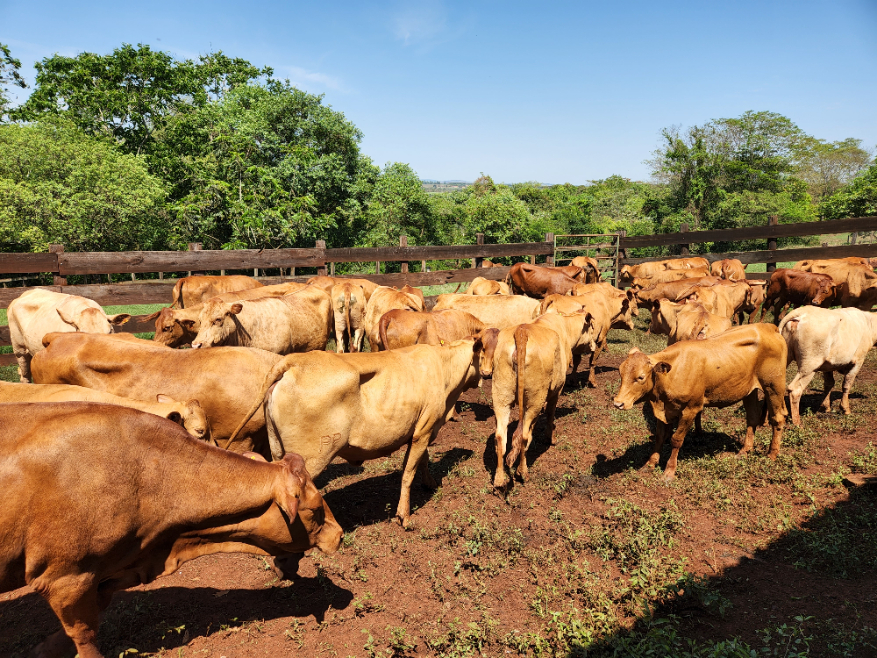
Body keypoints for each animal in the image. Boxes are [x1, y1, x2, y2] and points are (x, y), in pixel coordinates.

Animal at [226, 339, 483, 527]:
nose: (486, 376)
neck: (443, 367)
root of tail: (295, 361)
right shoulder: (426, 427)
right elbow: (408, 471)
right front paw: (405, 516)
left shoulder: (420, 429)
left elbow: (423, 460)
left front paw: (429, 482)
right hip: (310, 457)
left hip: (276, 446)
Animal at [477, 311, 597, 489]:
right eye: (592, 328)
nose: (595, 344)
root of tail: (521, 331)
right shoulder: (556, 390)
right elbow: (550, 414)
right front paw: (550, 438)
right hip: (534, 399)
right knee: (524, 436)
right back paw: (522, 473)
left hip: (501, 396)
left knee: (500, 437)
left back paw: (499, 479)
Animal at [613, 324, 787, 480]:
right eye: (620, 373)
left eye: (640, 377)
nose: (618, 403)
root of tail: (769, 327)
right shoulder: (663, 409)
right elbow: (659, 437)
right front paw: (650, 464)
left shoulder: (692, 409)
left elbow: (676, 440)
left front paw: (669, 471)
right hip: (749, 391)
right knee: (752, 417)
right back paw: (744, 450)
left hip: (774, 386)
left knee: (778, 418)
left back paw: (771, 455)